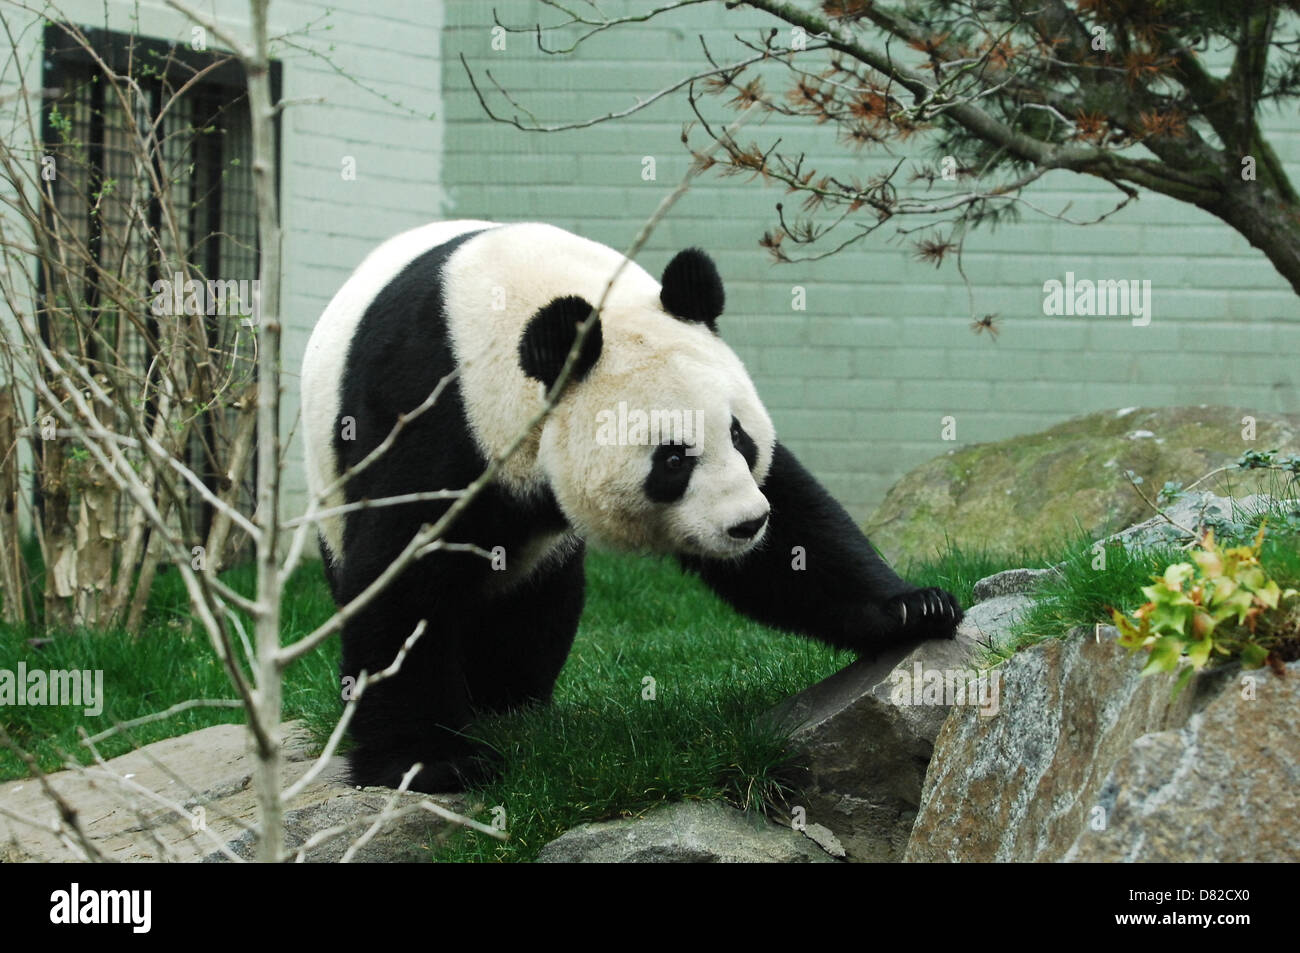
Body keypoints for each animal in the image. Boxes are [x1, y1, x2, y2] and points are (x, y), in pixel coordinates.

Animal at [301, 220, 962, 793]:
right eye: (672, 460)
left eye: (740, 436)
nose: (746, 525)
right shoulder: (434, 411)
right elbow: (400, 579)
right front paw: (428, 763)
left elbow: (798, 527)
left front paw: (914, 608)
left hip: (540, 562)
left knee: (536, 608)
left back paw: (513, 710)